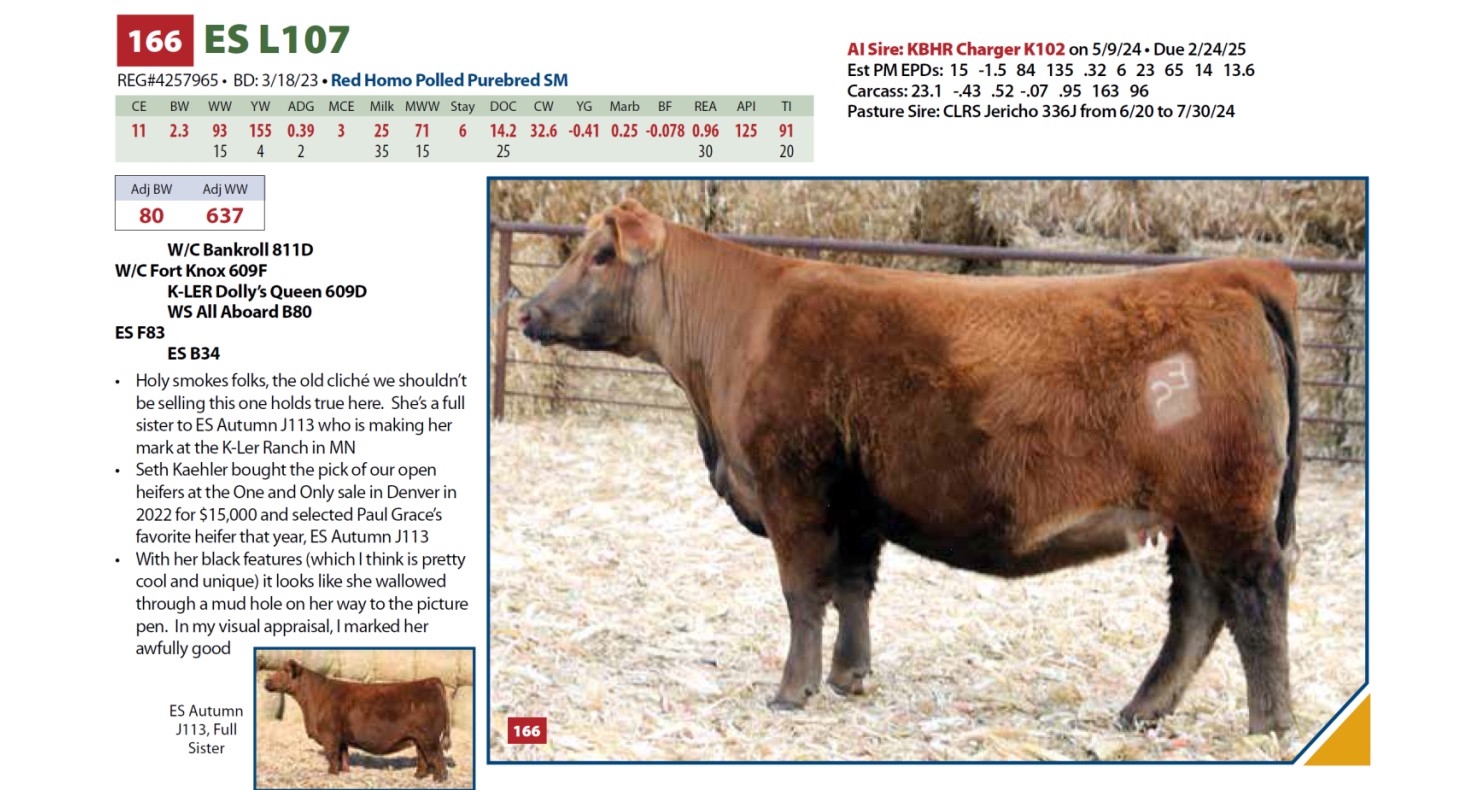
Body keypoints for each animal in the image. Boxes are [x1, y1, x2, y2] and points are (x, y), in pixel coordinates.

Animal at [263, 659, 451, 781]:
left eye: (283, 671)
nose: (266, 681)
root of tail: (431, 680)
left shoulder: (329, 735)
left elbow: (332, 755)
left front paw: (331, 773)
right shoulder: (341, 738)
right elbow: (343, 756)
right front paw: (344, 772)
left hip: (429, 738)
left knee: (437, 757)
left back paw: (439, 779)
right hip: (419, 738)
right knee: (424, 757)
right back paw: (419, 776)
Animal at [518, 199, 1301, 735]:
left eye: (600, 255)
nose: (527, 312)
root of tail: (1237, 272)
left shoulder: (791, 488)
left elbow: (803, 591)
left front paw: (792, 690)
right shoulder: (858, 501)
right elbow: (854, 588)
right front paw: (848, 677)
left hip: (1223, 505)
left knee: (1253, 598)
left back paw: (1269, 722)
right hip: (1193, 517)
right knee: (1198, 608)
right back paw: (1143, 709)